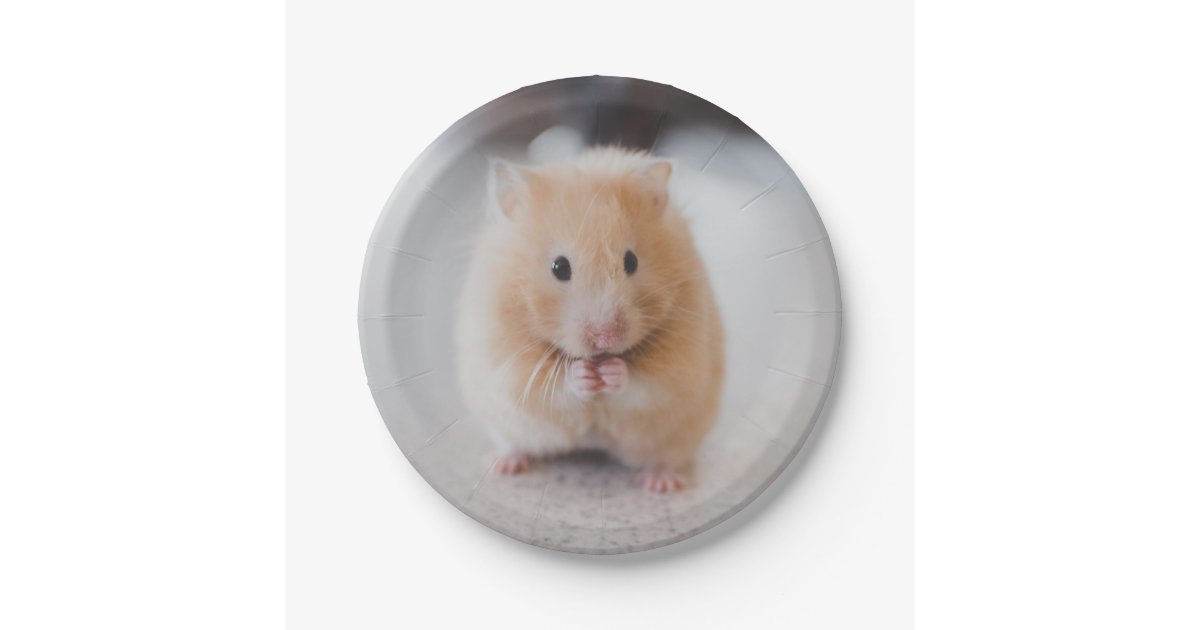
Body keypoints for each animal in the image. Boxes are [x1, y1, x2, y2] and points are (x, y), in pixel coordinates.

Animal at [455, 146, 724, 493]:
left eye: (631, 261)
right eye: (559, 267)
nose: (605, 339)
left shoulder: (681, 363)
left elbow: (645, 384)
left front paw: (612, 372)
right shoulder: (507, 362)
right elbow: (552, 387)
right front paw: (583, 375)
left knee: (663, 457)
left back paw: (661, 484)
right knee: (514, 443)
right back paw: (502, 465)